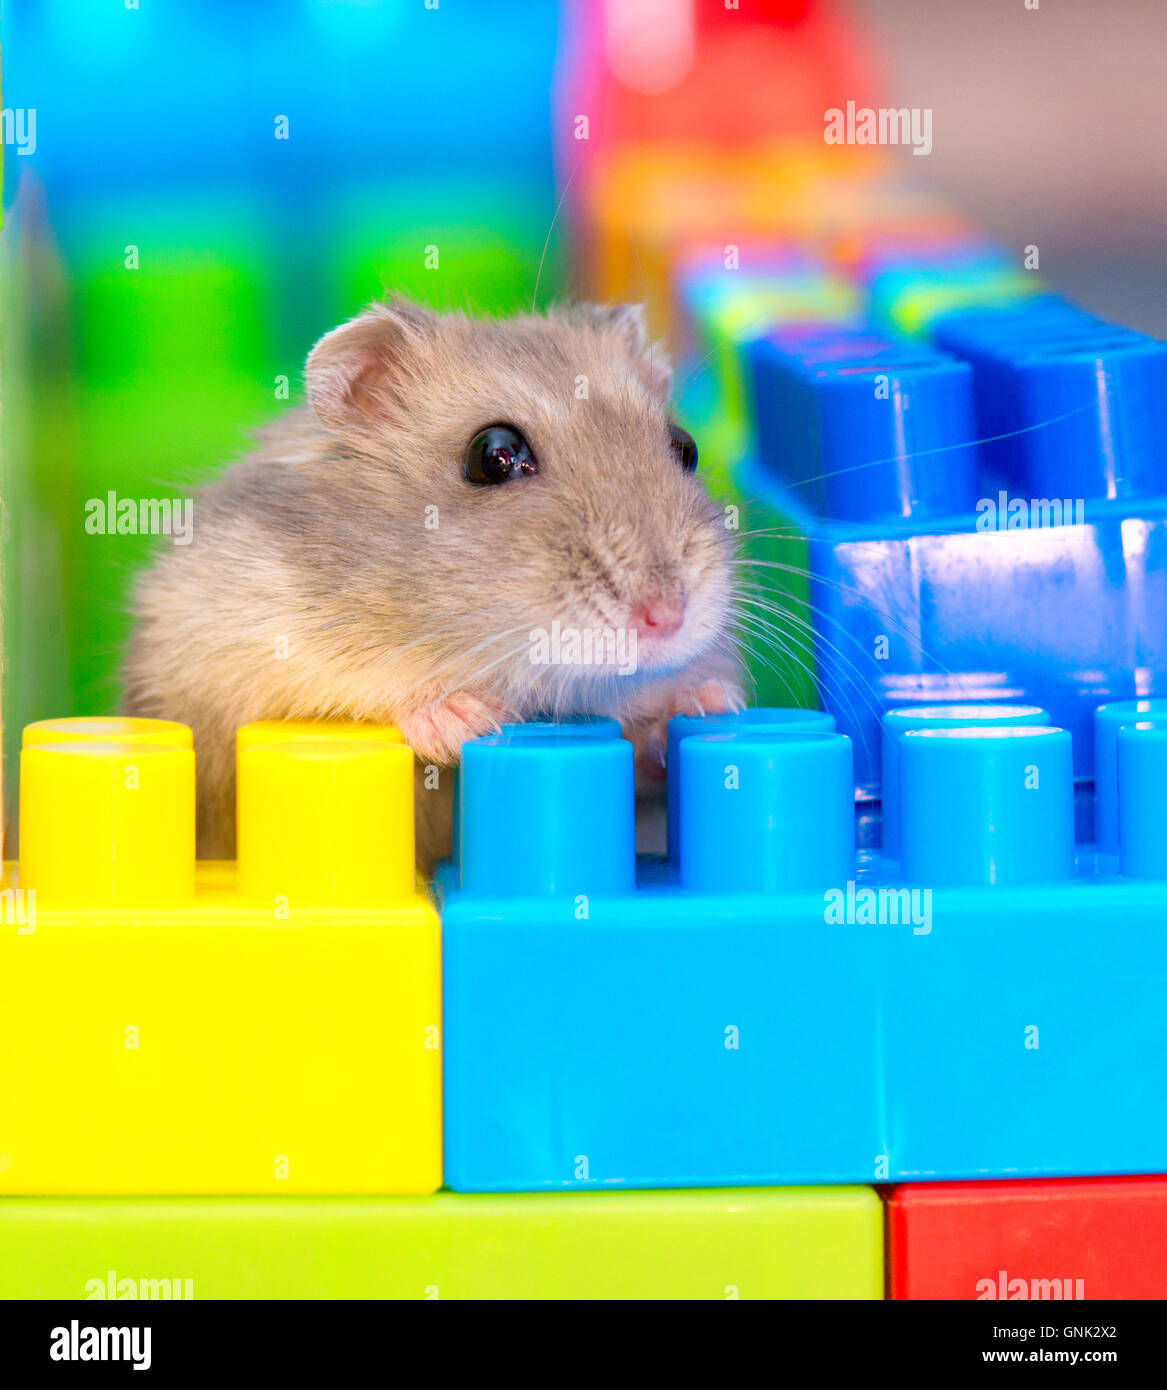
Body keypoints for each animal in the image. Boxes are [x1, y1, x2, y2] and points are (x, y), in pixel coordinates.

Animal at [123, 298, 743, 867]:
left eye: (685, 447)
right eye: (494, 455)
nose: (668, 617)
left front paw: (711, 701)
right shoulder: (217, 660)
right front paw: (468, 719)